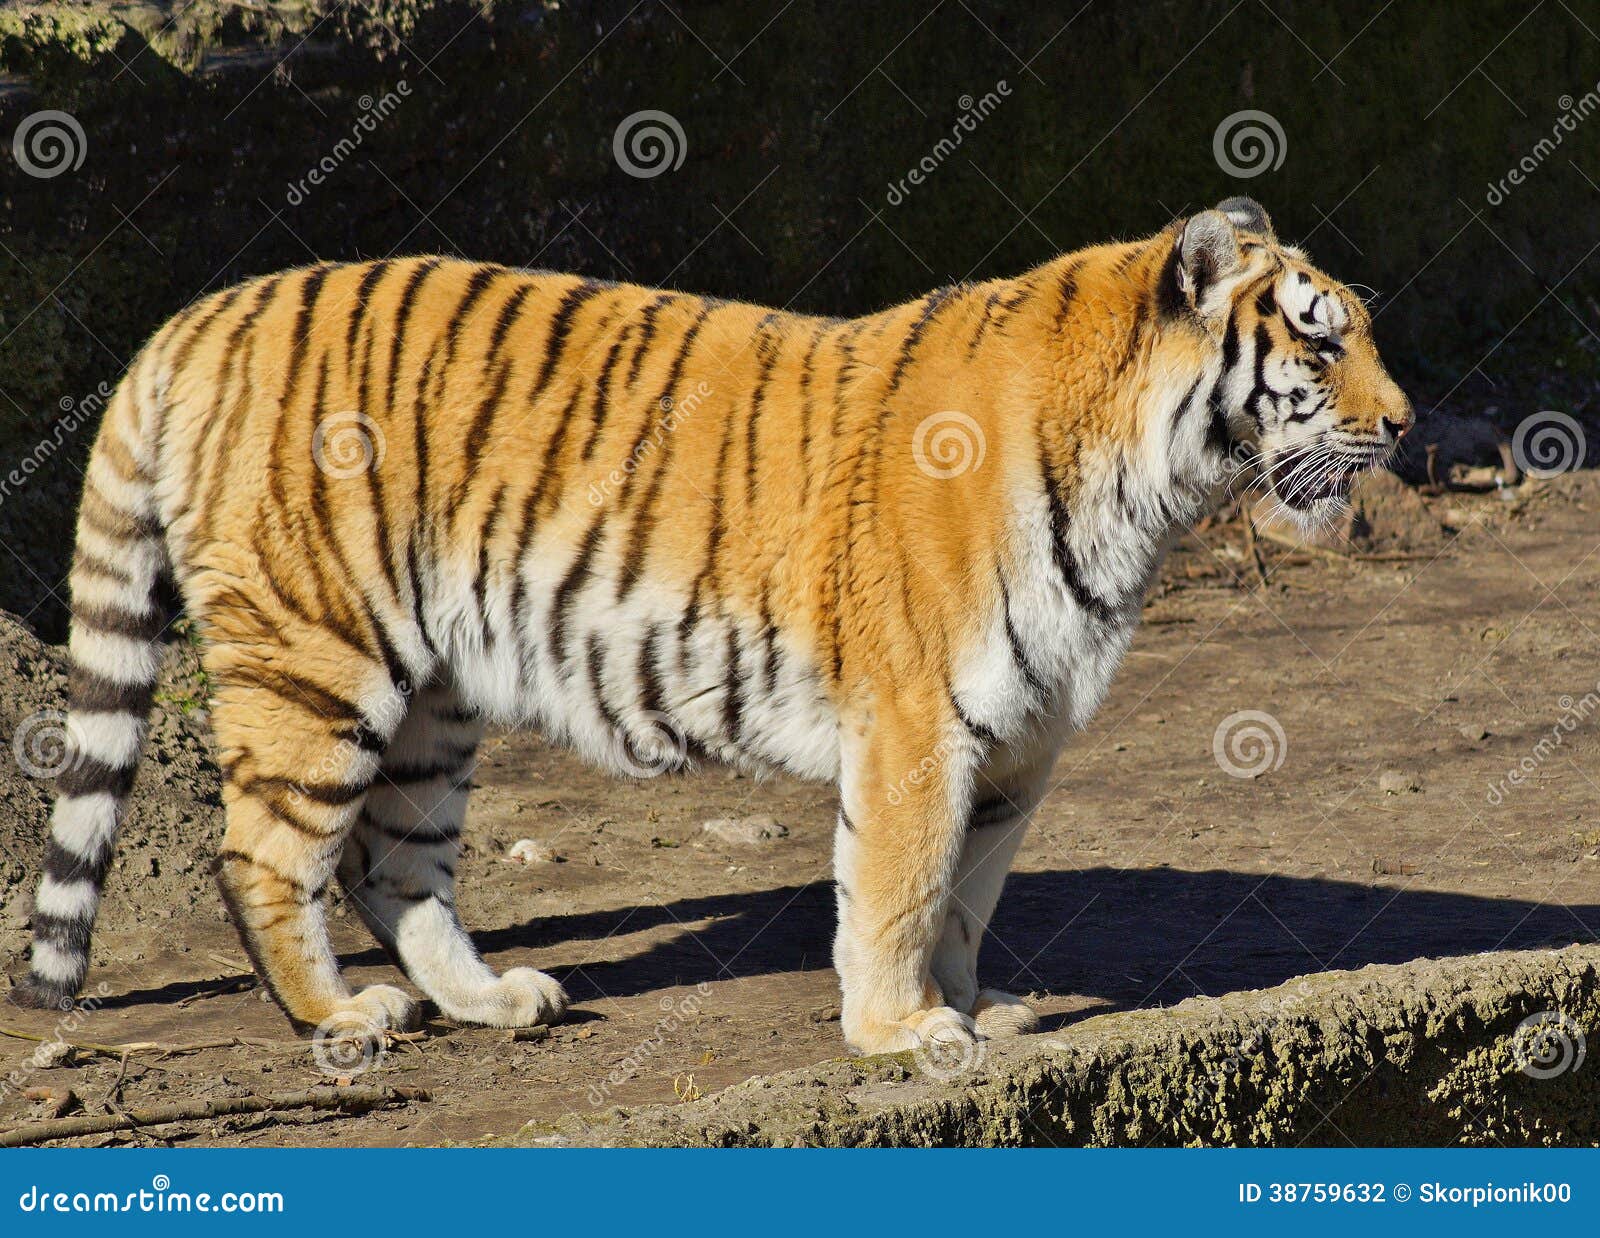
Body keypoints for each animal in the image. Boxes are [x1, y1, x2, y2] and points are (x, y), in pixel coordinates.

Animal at [10, 196, 1410, 1056]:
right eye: (1319, 346)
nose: (1403, 425)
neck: (1146, 487)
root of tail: (199, 314)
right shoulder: (918, 723)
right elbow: (901, 887)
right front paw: (902, 1031)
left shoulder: (1021, 736)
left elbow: (966, 895)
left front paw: (978, 1008)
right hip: (318, 653)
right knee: (262, 851)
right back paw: (341, 1019)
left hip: (433, 696)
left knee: (389, 861)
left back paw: (489, 999)